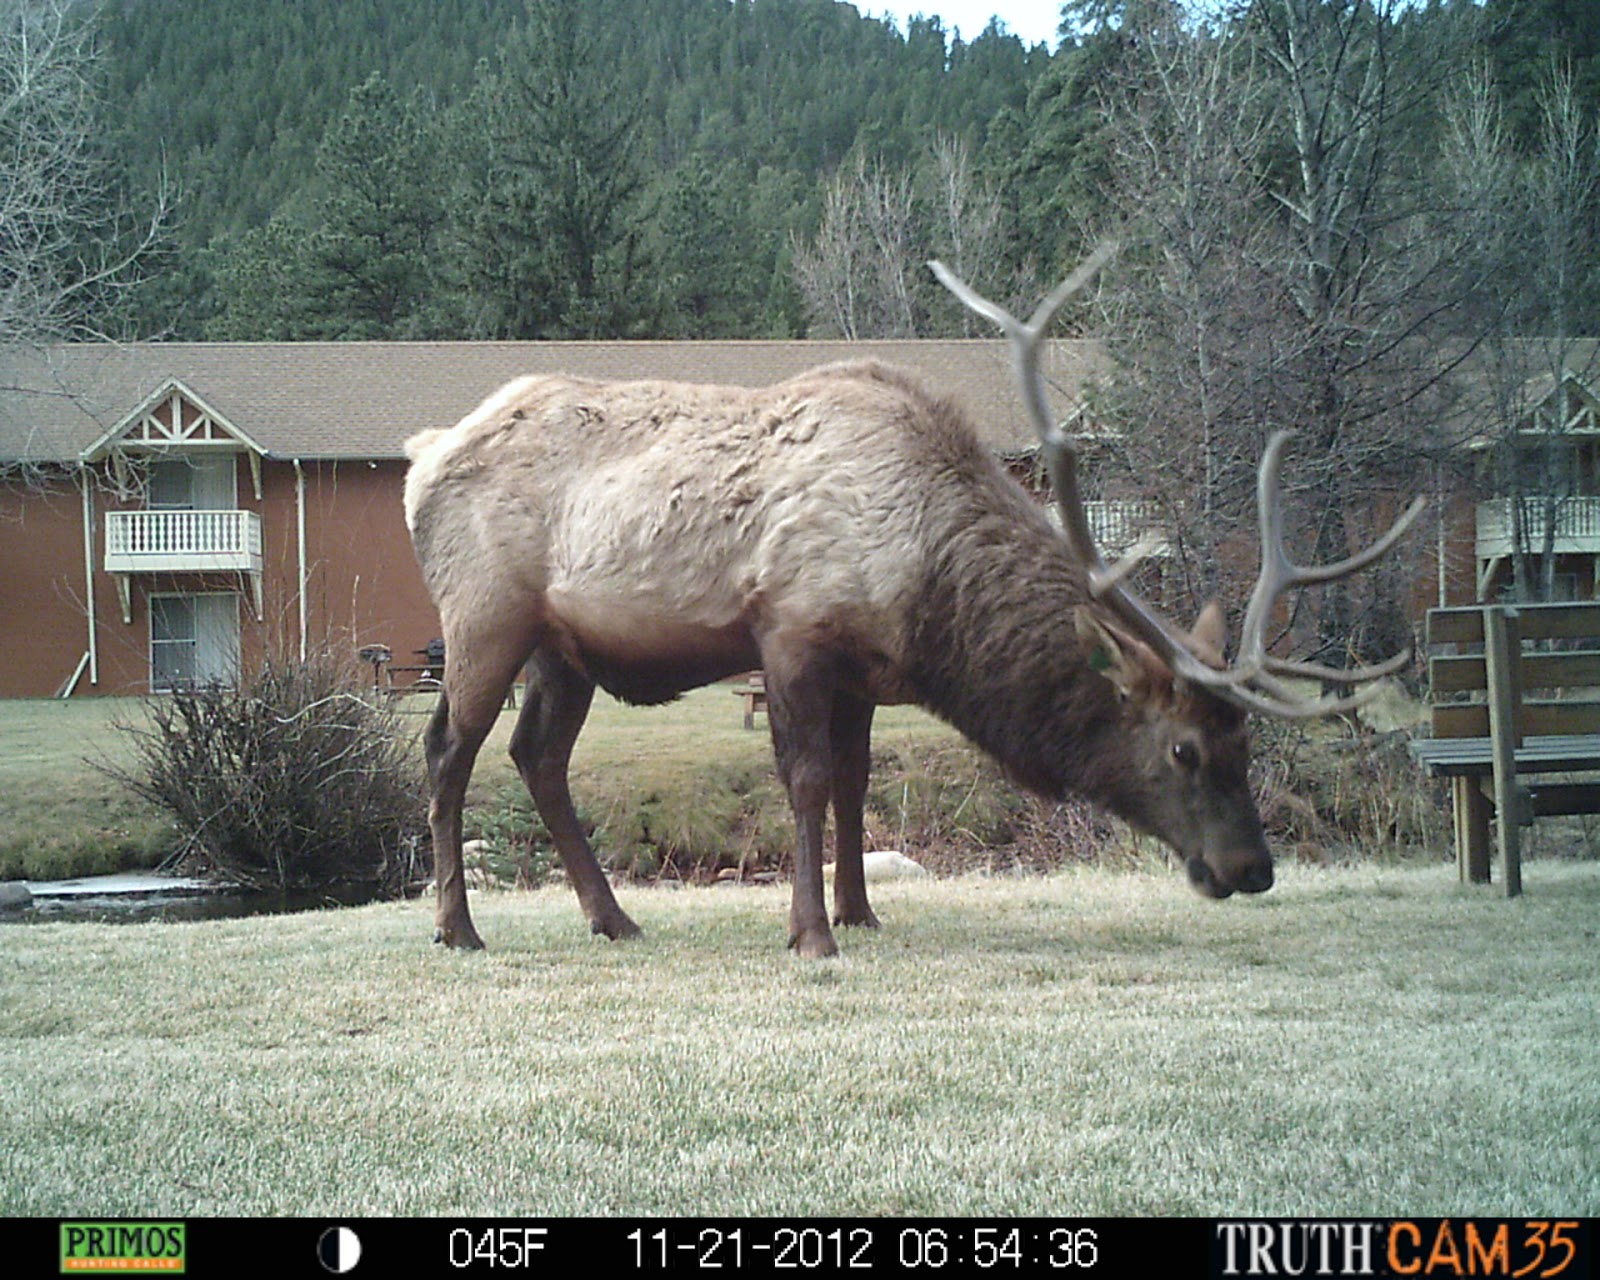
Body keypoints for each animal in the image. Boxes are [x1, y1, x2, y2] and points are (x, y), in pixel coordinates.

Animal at [403, 245, 1423, 958]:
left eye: (1243, 739)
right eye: (1184, 748)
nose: (1253, 867)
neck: (930, 593)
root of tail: (421, 461)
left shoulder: (860, 669)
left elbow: (858, 784)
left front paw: (860, 912)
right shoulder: (791, 630)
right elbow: (808, 780)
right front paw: (810, 933)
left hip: (561, 646)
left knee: (538, 757)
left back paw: (612, 918)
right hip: (485, 614)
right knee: (450, 749)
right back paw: (458, 927)